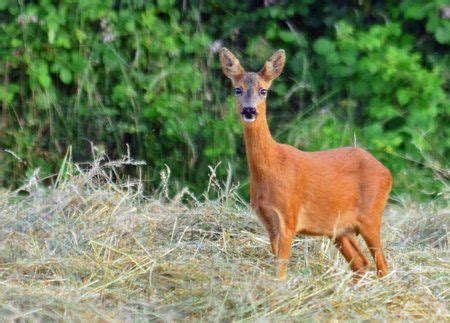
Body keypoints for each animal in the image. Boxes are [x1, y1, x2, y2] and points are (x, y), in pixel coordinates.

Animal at [220, 47, 392, 280]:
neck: (272, 167)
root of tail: (387, 172)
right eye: (237, 89)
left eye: (263, 90)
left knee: (383, 265)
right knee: (362, 264)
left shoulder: (288, 217)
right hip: (340, 230)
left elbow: (281, 272)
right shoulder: (268, 223)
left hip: (371, 216)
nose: (249, 110)